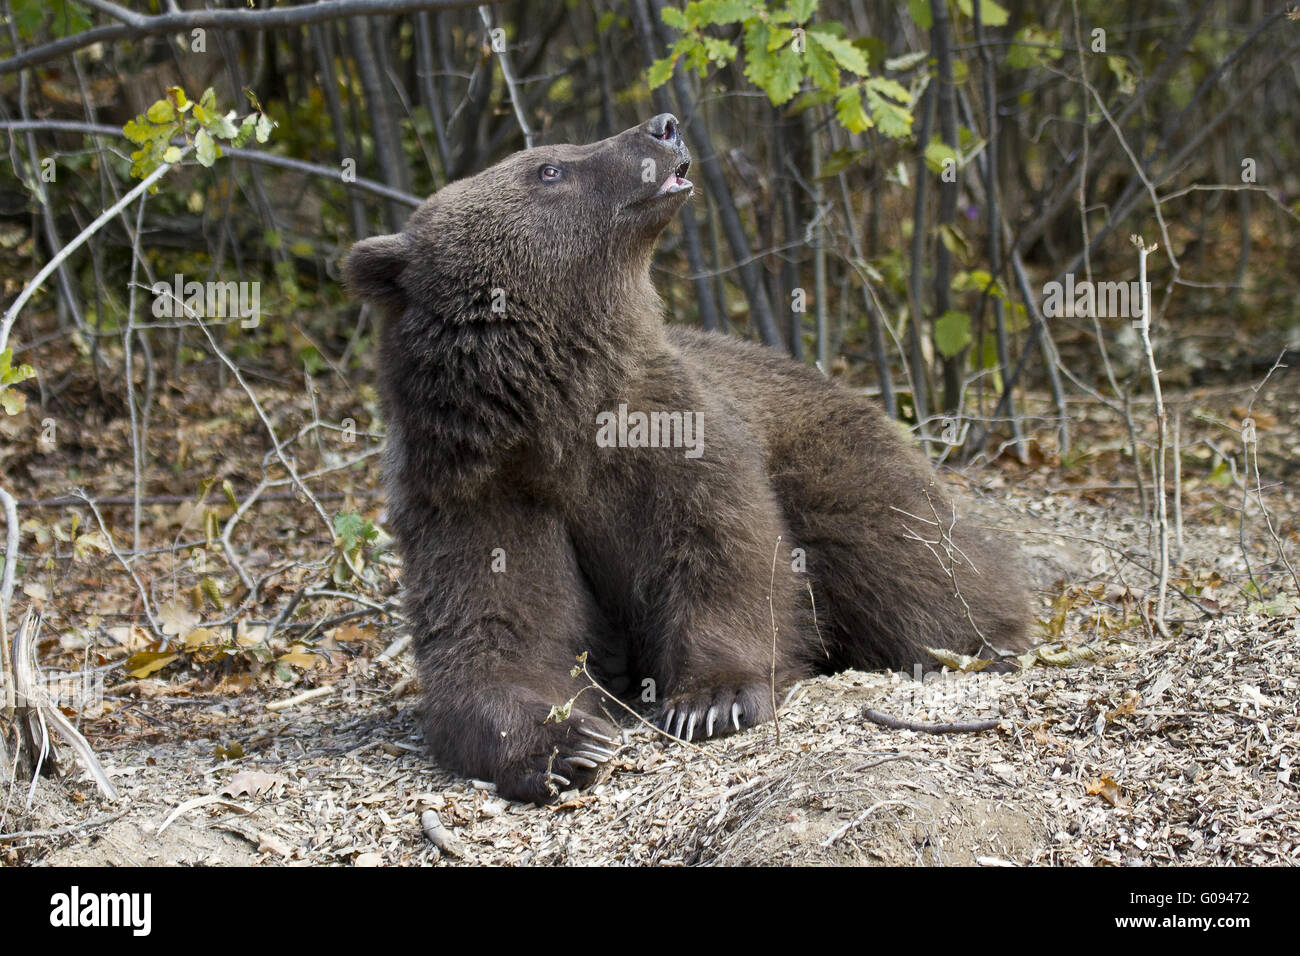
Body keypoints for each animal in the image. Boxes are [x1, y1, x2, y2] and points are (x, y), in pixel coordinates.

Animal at [343, 113, 1031, 804]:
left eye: (557, 153)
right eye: (549, 170)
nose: (662, 126)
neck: (558, 412)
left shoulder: (674, 433)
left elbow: (724, 551)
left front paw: (711, 700)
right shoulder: (475, 493)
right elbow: (496, 631)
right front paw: (564, 743)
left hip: (832, 459)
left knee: (905, 562)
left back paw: (988, 634)